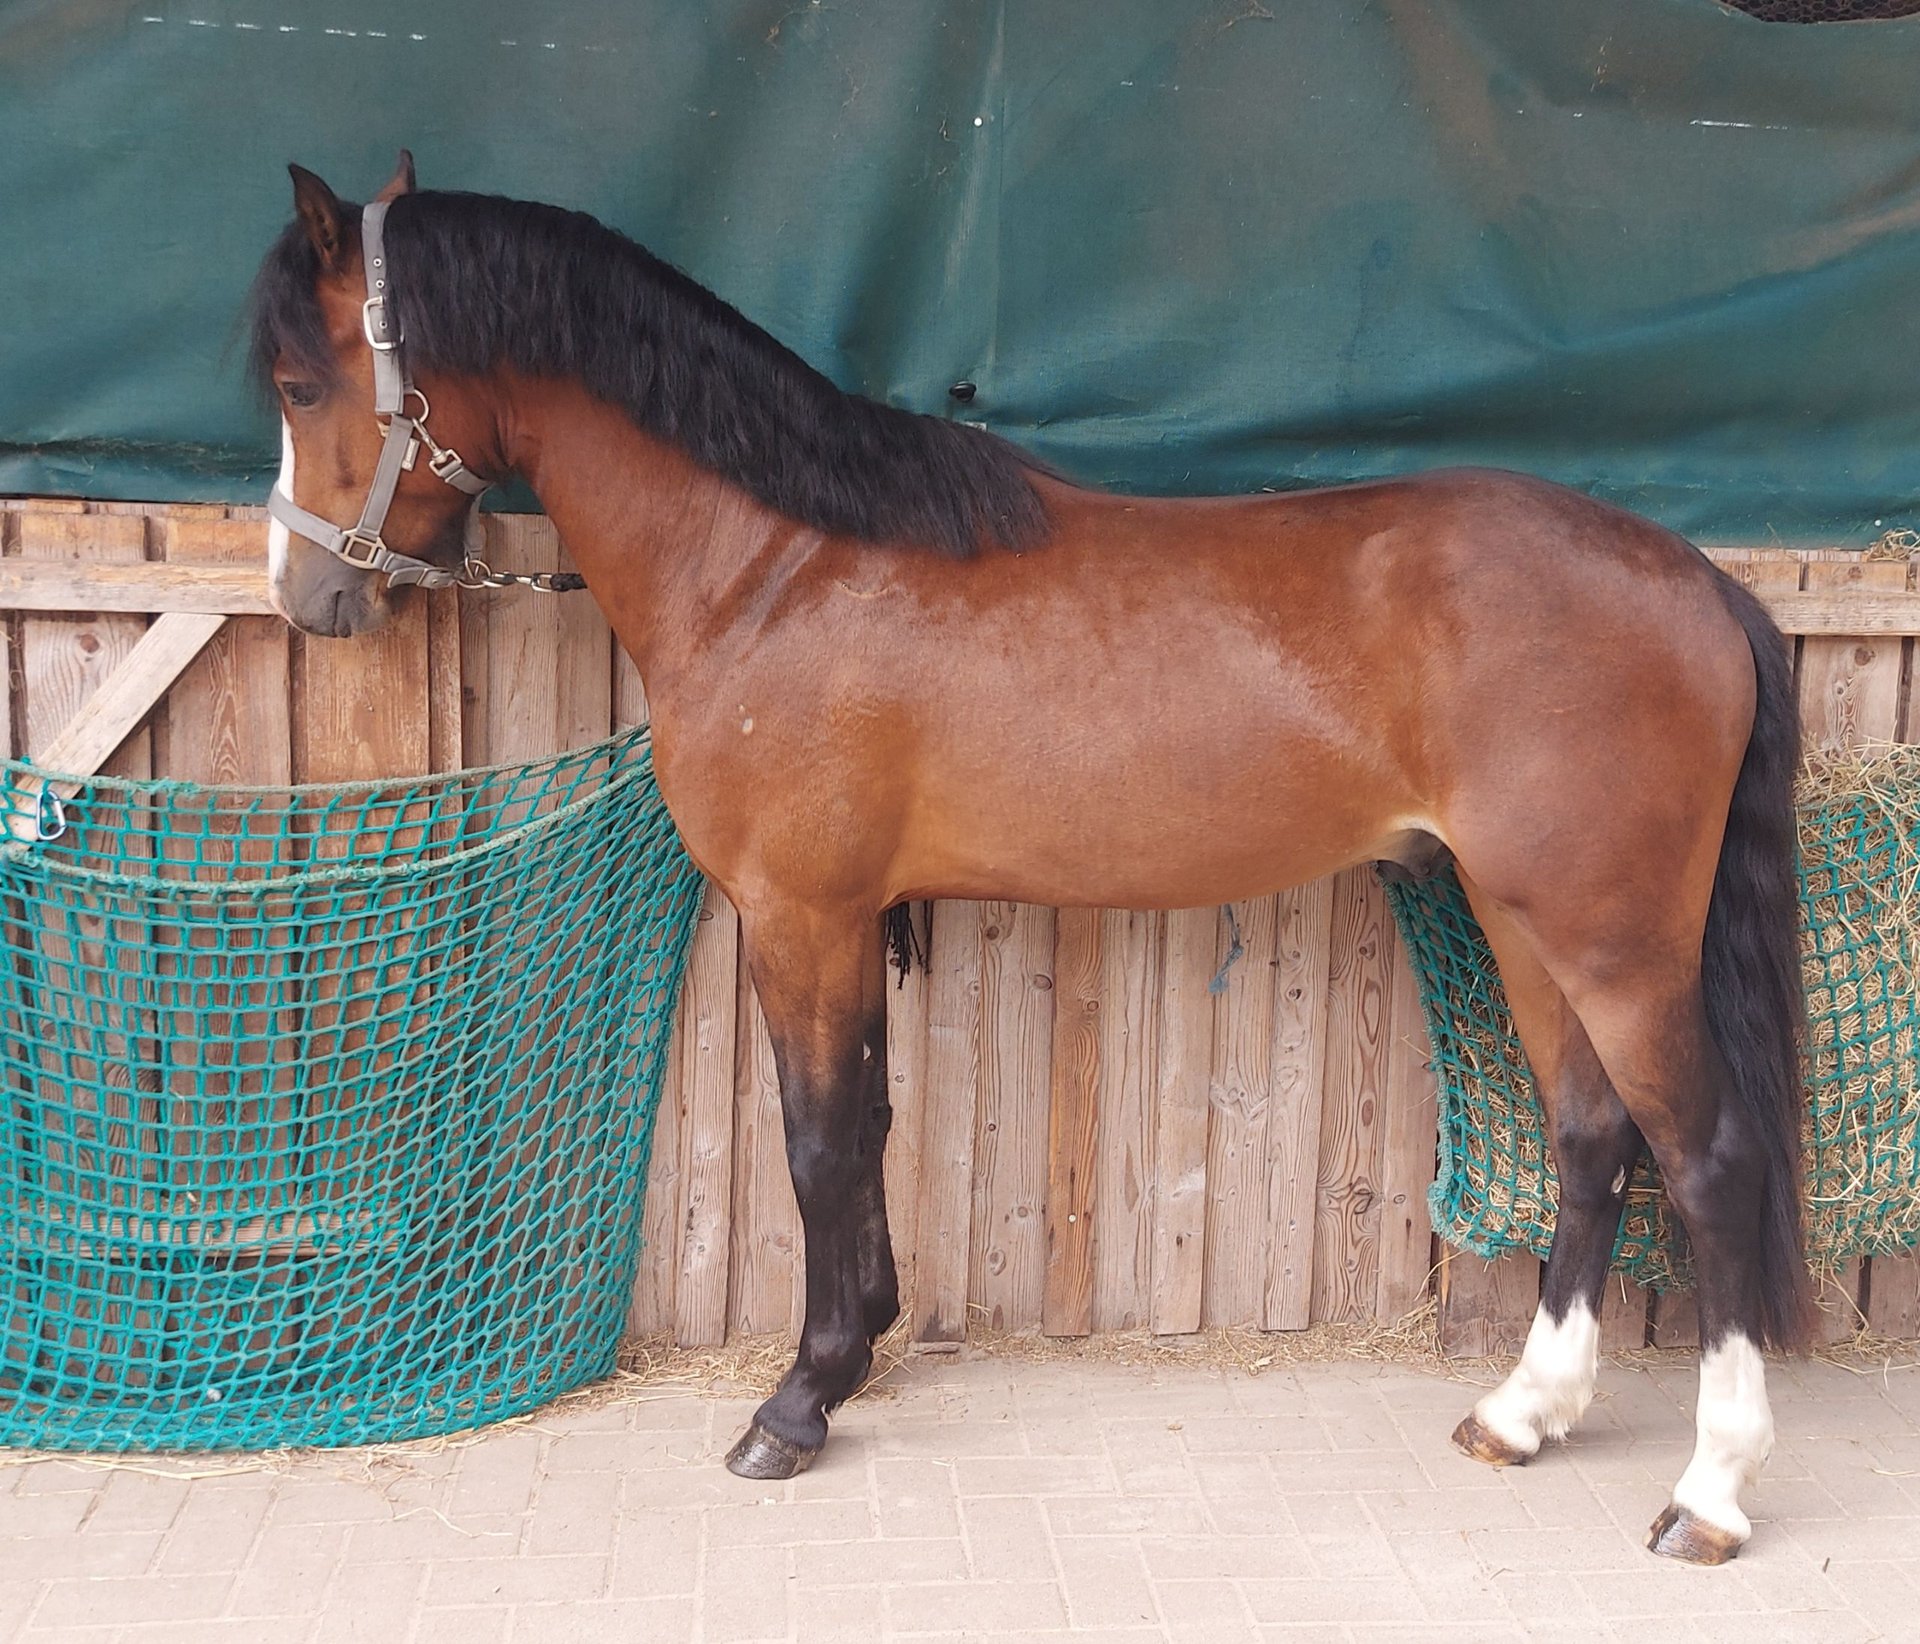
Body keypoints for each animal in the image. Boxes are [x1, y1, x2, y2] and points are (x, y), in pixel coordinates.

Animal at [249, 154, 1811, 1564]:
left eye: (301, 385)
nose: (307, 591)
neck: (775, 566)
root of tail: (1695, 581)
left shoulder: (798, 912)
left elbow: (818, 1140)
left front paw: (797, 1403)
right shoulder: (855, 915)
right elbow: (871, 1125)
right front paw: (860, 1347)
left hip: (1614, 936)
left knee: (1710, 1157)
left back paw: (1713, 1492)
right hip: (1526, 914)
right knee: (1595, 1138)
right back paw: (1524, 1412)